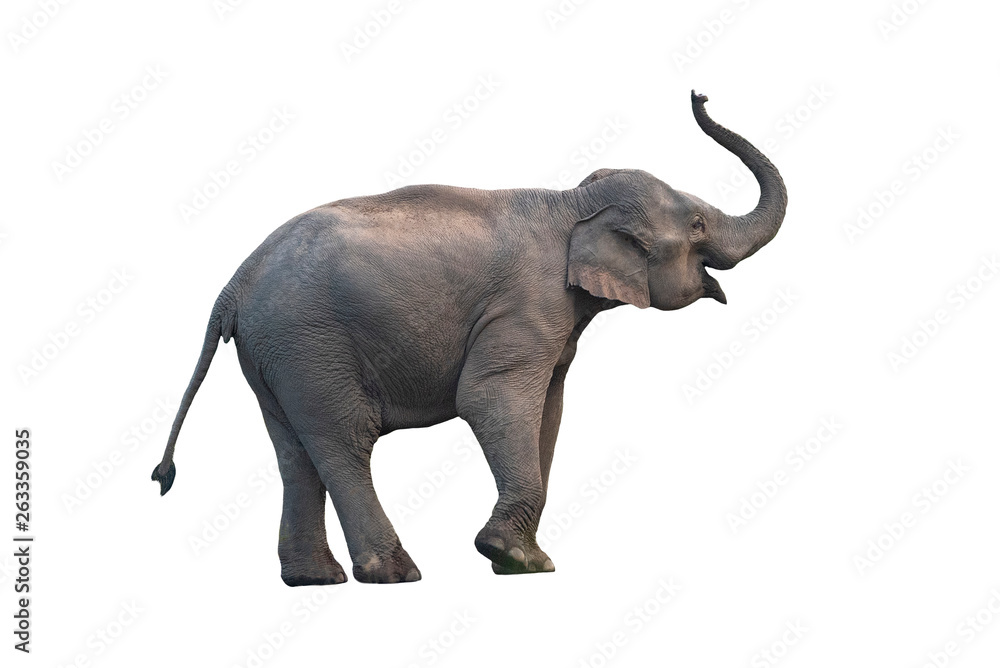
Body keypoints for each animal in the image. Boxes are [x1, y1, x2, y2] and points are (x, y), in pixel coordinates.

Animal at [153, 91, 787, 585]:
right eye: (698, 225)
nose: (700, 95)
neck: (572, 202)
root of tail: (234, 283)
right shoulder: (528, 304)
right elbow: (491, 398)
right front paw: (507, 556)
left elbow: (549, 412)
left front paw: (524, 563)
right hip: (309, 339)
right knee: (343, 438)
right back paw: (395, 573)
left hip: (275, 352)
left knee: (292, 449)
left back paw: (315, 579)